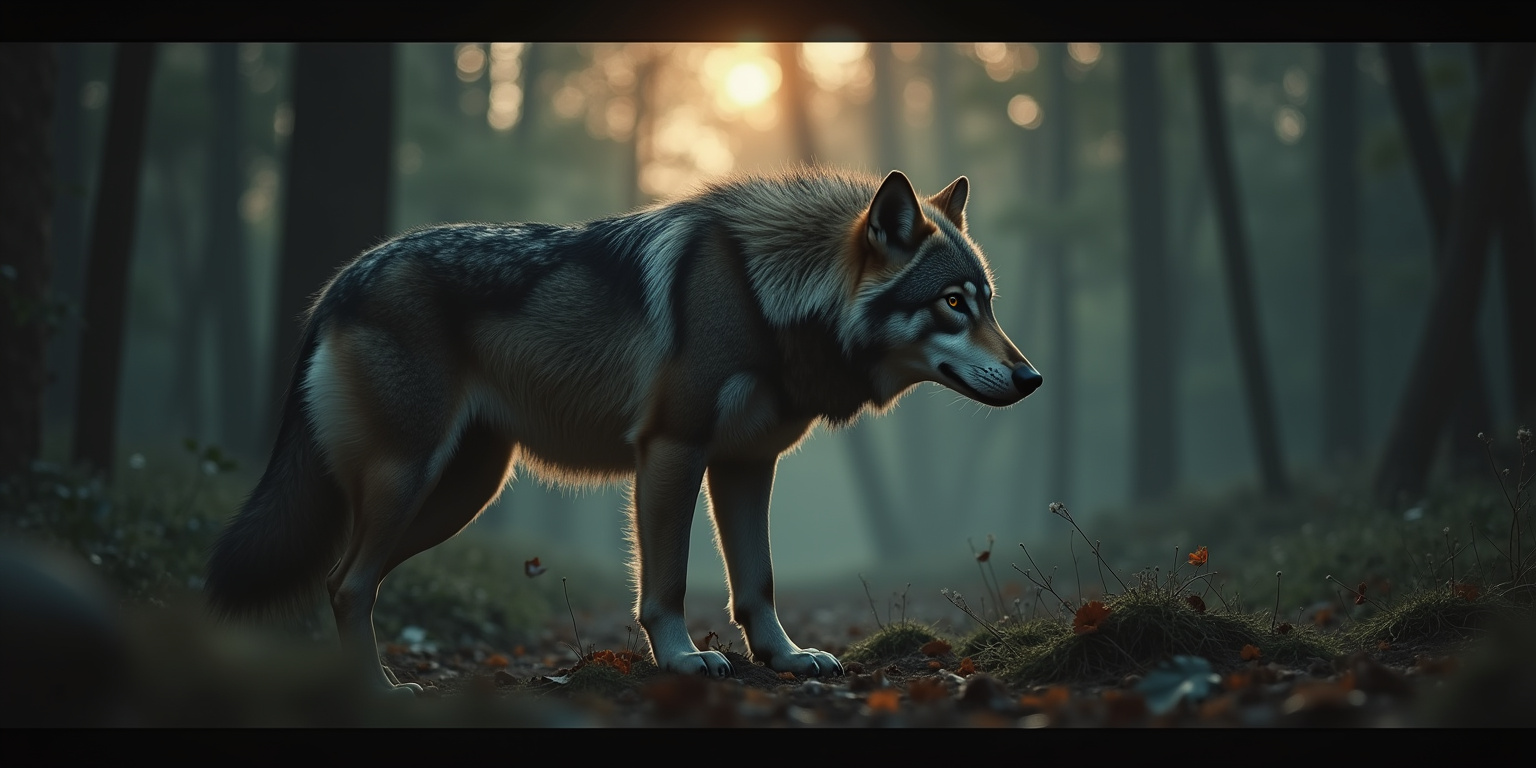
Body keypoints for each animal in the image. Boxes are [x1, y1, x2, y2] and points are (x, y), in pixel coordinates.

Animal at [205, 167, 1041, 692]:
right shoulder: (672, 450)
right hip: (412, 480)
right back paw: (377, 691)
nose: (1033, 378)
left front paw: (784, 657)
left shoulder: (746, 463)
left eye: (989, 303)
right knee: (346, 583)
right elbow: (666, 583)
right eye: (954, 304)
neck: (762, 295)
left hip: (459, 495)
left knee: (347, 580)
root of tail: (342, 282)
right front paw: (682, 660)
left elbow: (758, 582)